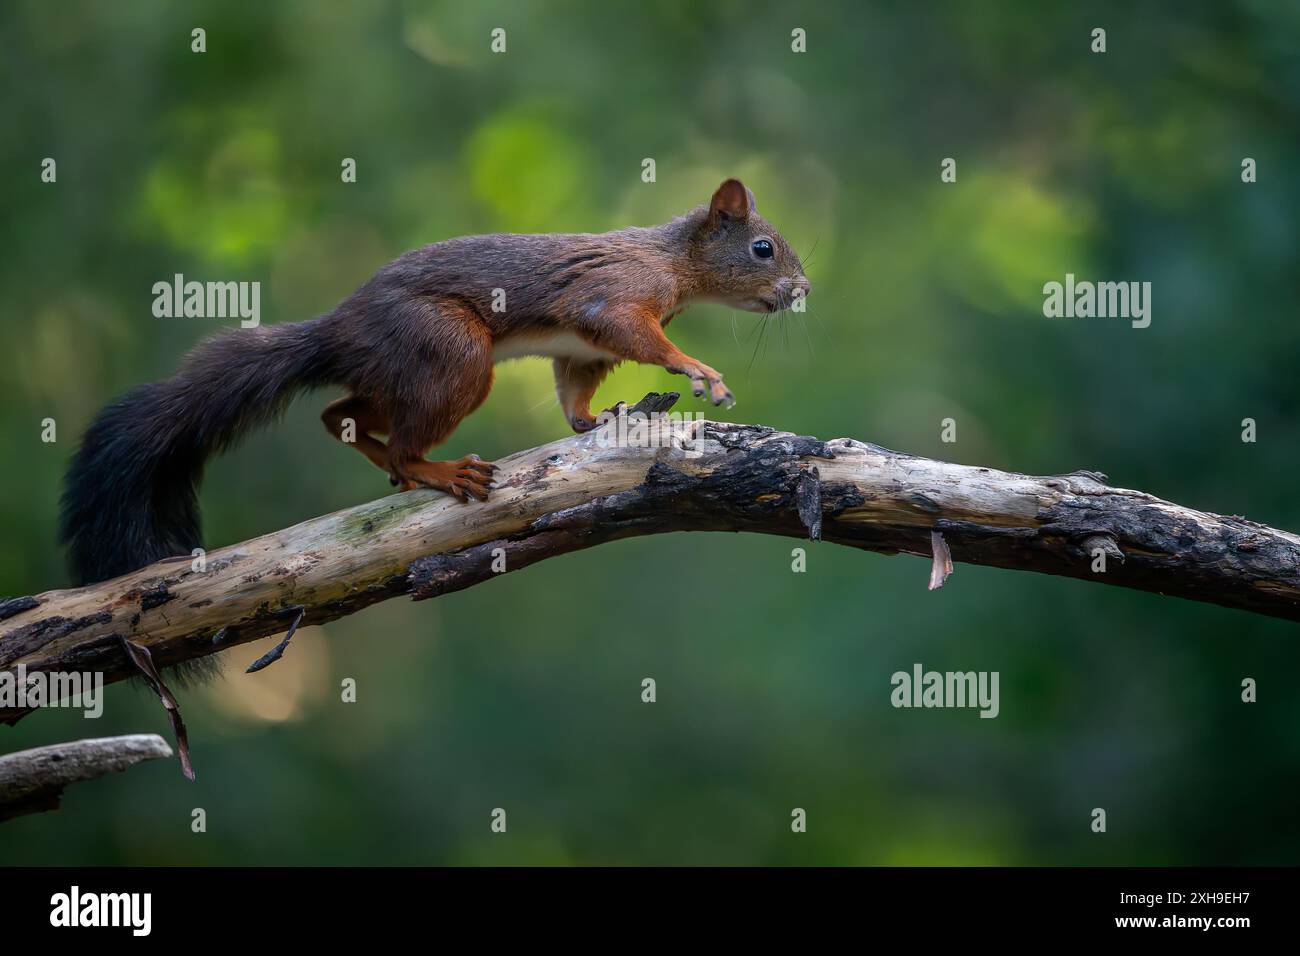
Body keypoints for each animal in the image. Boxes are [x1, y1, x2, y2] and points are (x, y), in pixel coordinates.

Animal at [59, 178, 810, 587]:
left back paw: (383, 458)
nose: (803, 291)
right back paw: (435, 470)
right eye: (762, 249)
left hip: (404, 373)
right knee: (399, 437)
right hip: (454, 358)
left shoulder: (580, 350)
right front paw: (699, 371)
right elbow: (639, 334)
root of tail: (338, 329)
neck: (672, 259)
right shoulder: (614, 298)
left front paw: (595, 420)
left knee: (339, 413)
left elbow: (574, 387)